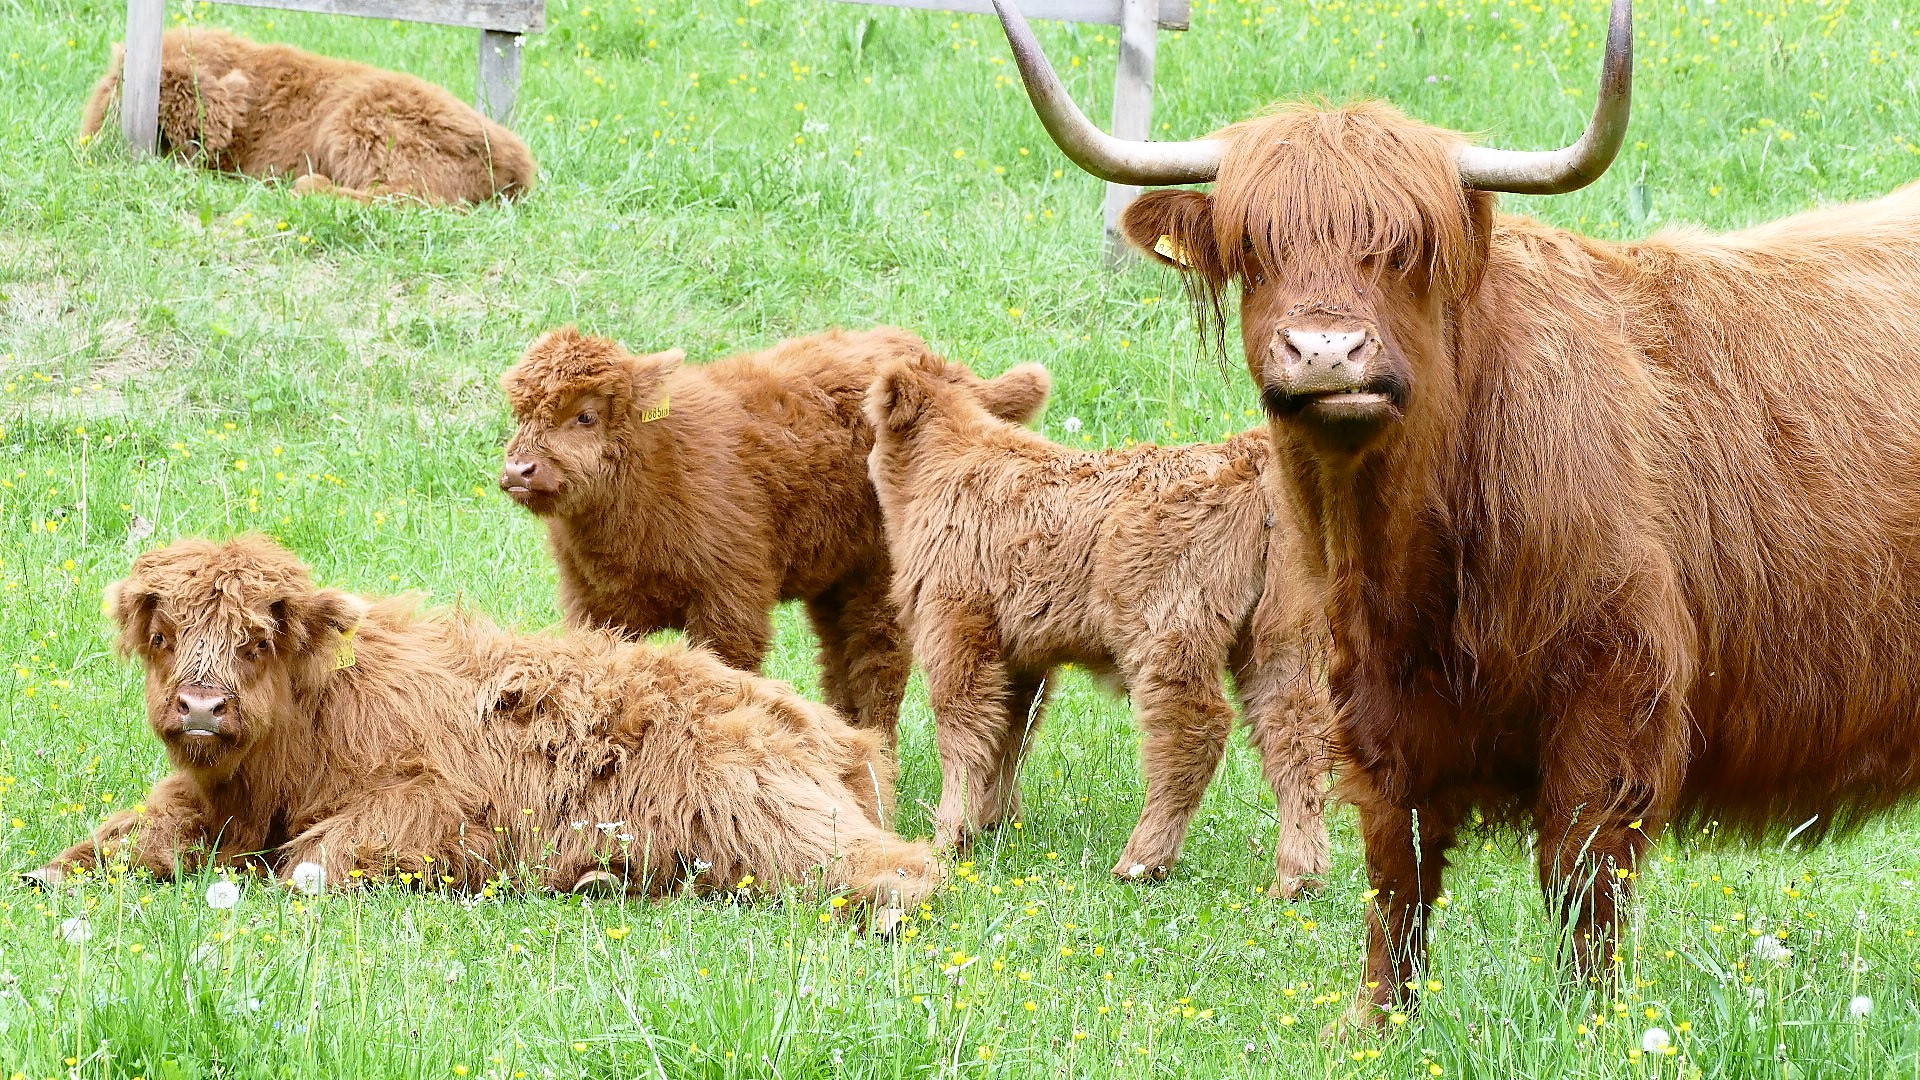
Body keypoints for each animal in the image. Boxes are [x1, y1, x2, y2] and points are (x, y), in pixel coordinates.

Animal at [31, 534, 944, 910]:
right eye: (165, 635)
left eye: (259, 640)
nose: (200, 707)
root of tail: (838, 734)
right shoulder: (213, 801)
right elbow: (138, 830)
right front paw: (52, 871)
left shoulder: (435, 809)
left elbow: (314, 862)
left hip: (772, 816)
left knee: (900, 864)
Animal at [79, 28, 533, 203]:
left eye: (188, 131)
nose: (176, 158)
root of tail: (518, 163)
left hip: (357, 124)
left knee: (412, 198)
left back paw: (308, 185)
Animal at [495, 322, 1052, 734]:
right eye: (520, 413)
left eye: (586, 415)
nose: (520, 471)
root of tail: (948, 377)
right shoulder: (594, 608)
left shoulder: (729, 606)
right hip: (833, 582)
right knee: (840, 669)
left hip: (878, 581)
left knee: (876, 670)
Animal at [871, 353, 1336, 891]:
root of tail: (1245, 455)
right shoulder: (1023, 653)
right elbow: (1012, 732)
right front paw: (995, 824)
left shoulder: (956, 627)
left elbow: (964, 730)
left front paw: (950, 835)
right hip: (1280, 636)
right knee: (1295, 733)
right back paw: (1299, 876)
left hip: (1168, 626)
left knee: (1193, 729)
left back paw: (1142, 861)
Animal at [998, 0, 1920, 1022]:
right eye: (1255, 248)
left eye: (1406, 250)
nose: (1327, 351)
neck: (1414, 563)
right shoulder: (1370, 704)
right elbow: (1395, 875)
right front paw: (1377, 1021)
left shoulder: (1617, 688)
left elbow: (1581, 875)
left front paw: (1588, 1023)